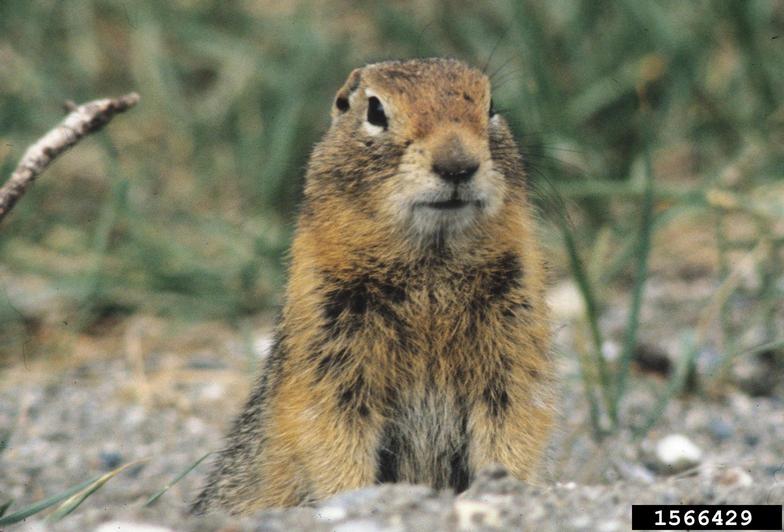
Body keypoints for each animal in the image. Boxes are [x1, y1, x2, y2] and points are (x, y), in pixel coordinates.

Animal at [192, 57, 556, 515]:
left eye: (491, 106)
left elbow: (515, 422)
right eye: (376, 111)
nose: (457, 165)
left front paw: (508, 488)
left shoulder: (515, 338)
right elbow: (331, 433)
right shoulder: (329, 350)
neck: (430, 272)